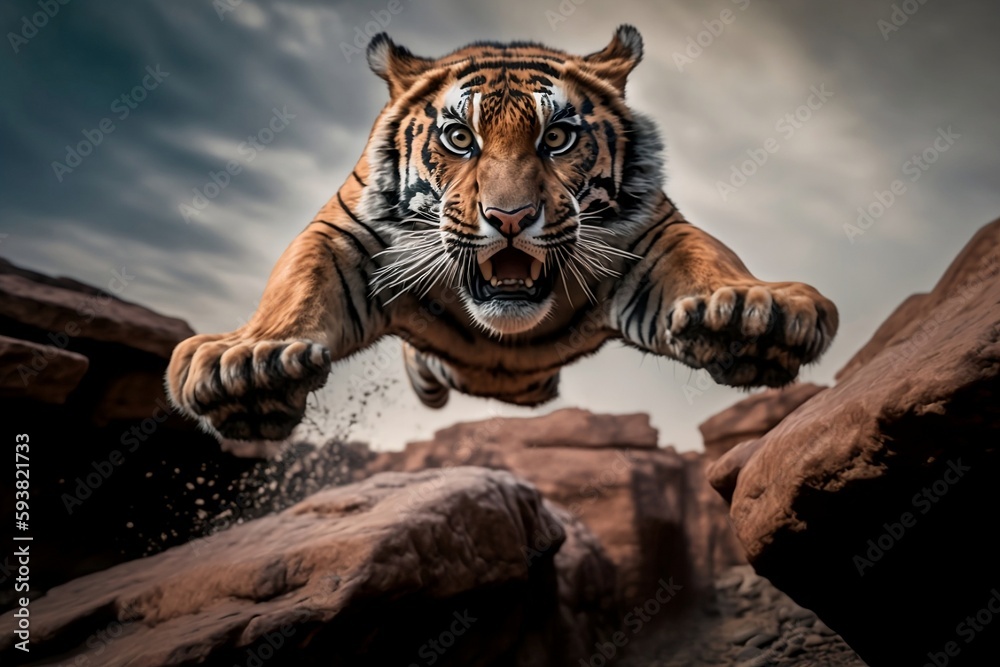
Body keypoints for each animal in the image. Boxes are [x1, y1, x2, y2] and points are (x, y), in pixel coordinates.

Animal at [166, 25, 838, 442]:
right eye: (459, 137)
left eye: (557, 137)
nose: (510, 217)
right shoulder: (344, 234)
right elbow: (299, 283)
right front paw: (247, 361)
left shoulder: (651, 237)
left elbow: (704, 258)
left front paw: (752, 313)